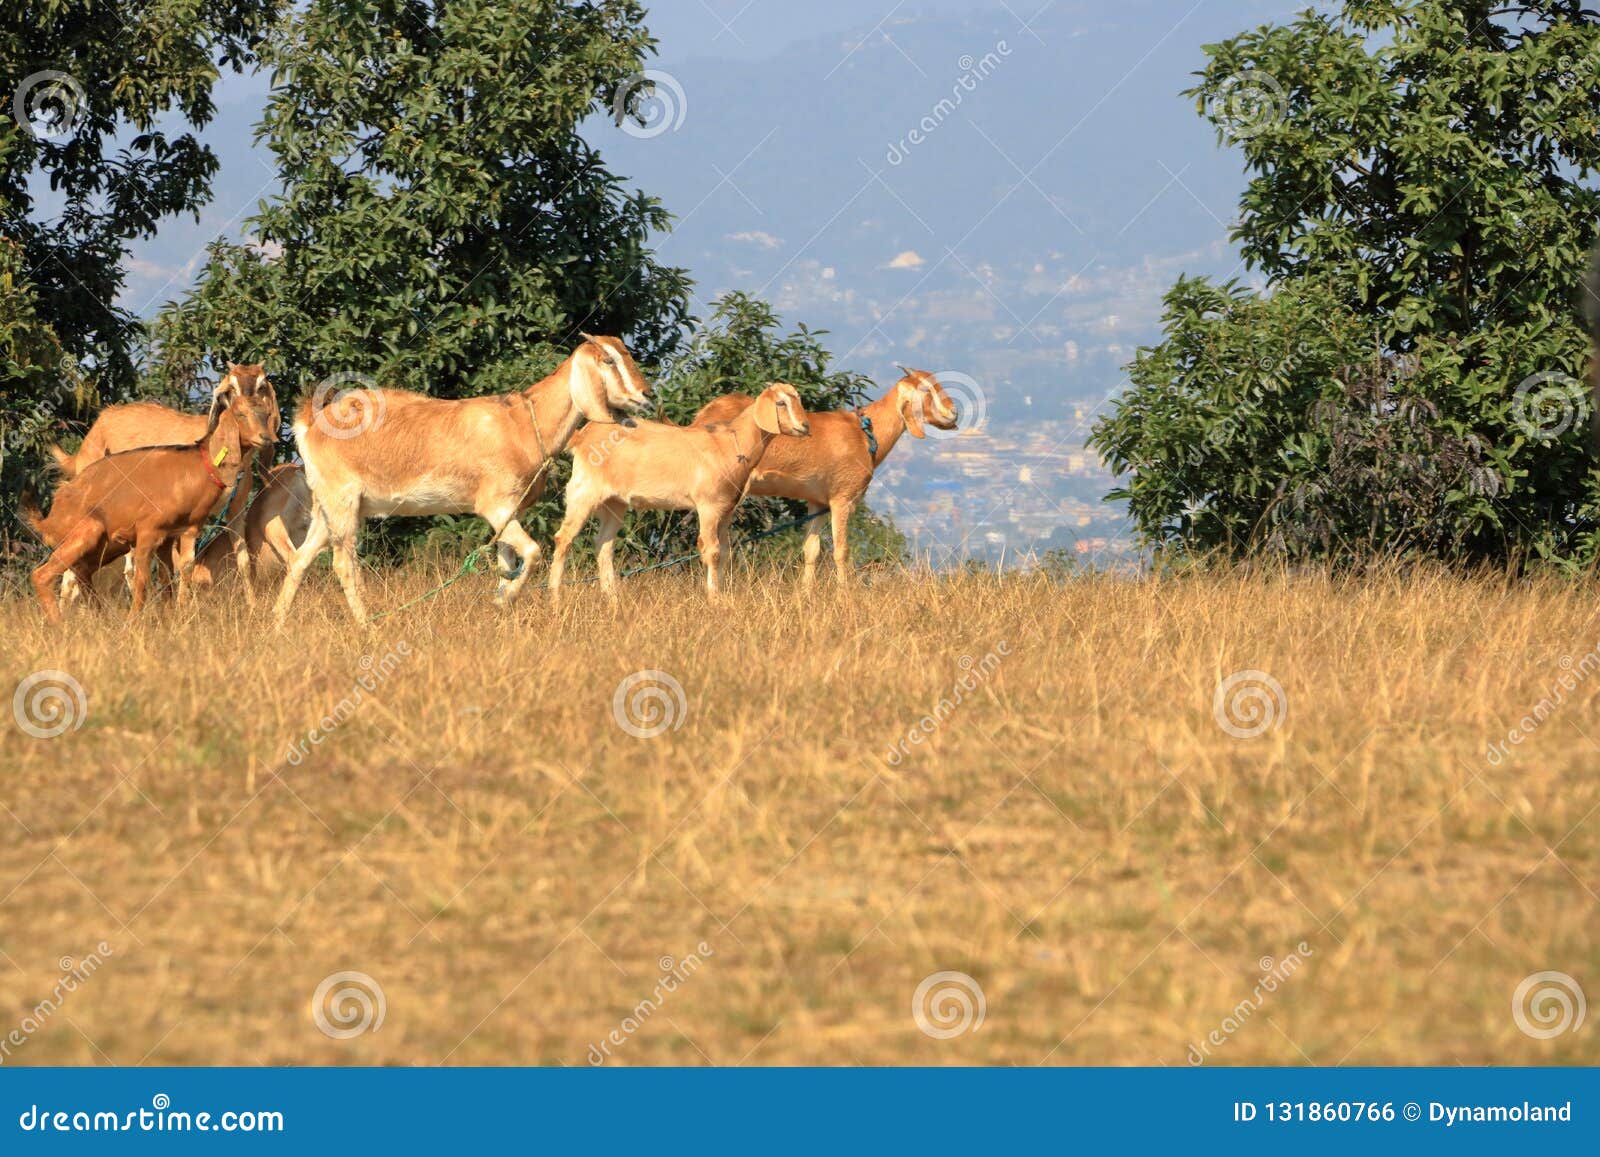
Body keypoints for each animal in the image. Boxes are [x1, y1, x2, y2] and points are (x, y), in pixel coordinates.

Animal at [24, 378, 276, 623]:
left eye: (265, 413)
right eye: (240, 413)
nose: (265, 438)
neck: (198, 466)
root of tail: (49, 519)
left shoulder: (180, 533)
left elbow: (172, 577)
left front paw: (172, 616)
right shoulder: (147, 532)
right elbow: (142, 580)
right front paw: (136, 620)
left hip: (104, 548)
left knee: (82, 575)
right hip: (89, 531)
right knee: (43, 575)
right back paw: (60, 623)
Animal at [273, 335, 651, 625]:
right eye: (608, 359)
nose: (645, 394)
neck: (522, 422)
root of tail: (310, 422)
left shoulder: (508, 514)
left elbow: (506, 562)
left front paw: (502, 608)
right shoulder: (496, 506)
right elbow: (532, 551)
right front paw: (503, 601)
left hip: (326, 508)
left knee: (301, 560)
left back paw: (277, 626)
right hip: (343, 502)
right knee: (343, 564)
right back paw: (368, 626)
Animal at [550, 382, 811, 601]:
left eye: (798, 399)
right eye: (780, 402)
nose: (805, 426)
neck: (729, 445)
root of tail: (582, 436)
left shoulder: (726, 509)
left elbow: (724, 551)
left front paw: (721, 596)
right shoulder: (708, 506)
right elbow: (712, 550)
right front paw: (713, 599)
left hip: (615, 502)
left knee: (603, 545)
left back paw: (613, 598)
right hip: (585, 492)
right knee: (564, 537)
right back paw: (555, 596)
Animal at [691, 369, 958, 584]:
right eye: (926, 388)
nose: (953, 411)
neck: (865, 433)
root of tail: (702, 417)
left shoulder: (818, 502)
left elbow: (811, 550)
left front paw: (806, 593)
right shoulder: (842, 499)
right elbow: (841, 551)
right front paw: (844, 594)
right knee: (710, 545)